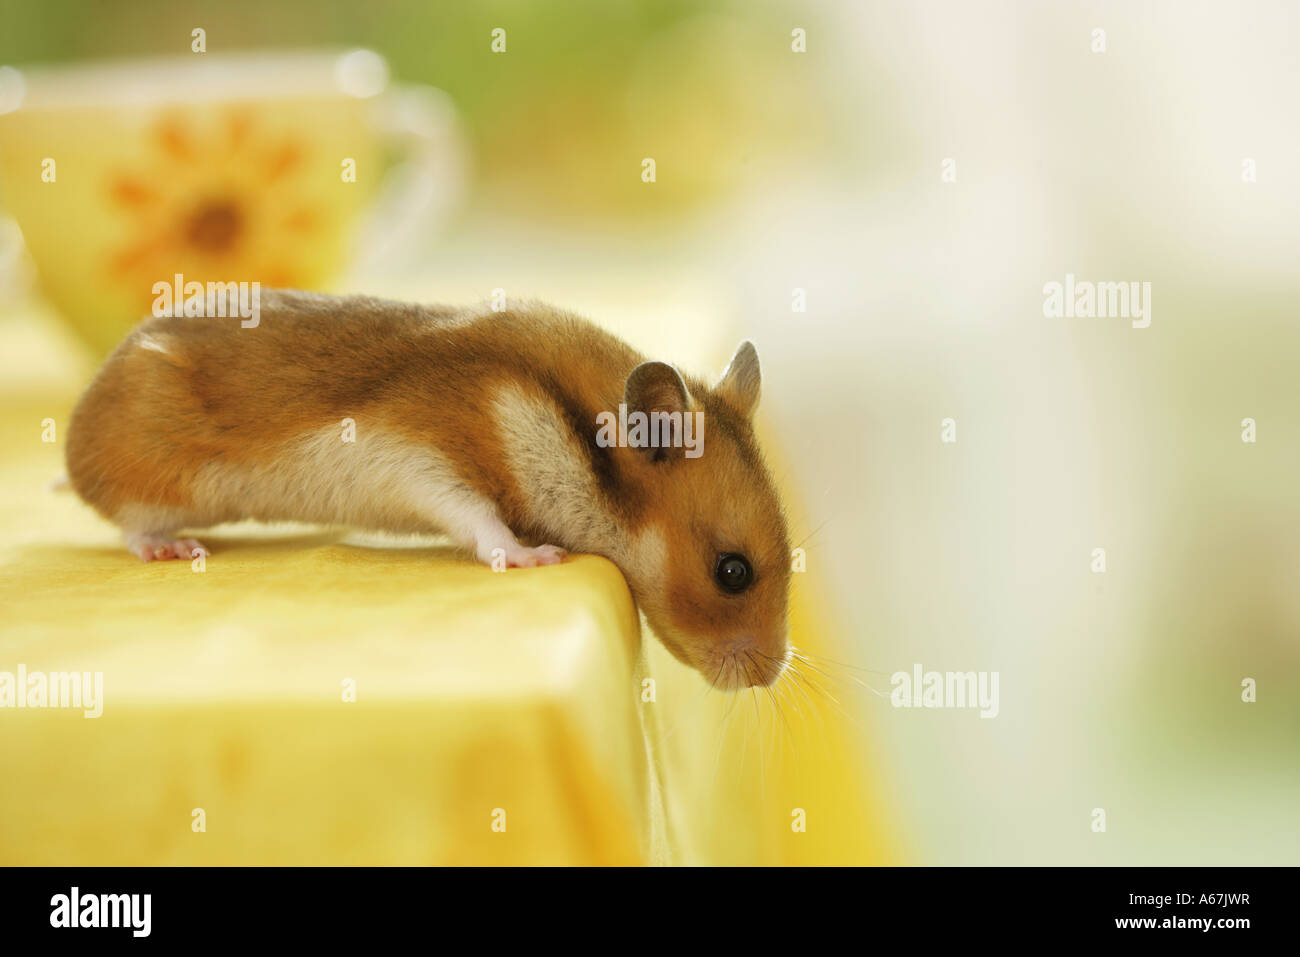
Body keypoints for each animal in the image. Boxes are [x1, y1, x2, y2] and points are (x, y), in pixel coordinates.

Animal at [65, 290, 792, 689]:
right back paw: (173, 548)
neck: (575, 433)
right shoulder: (427, 460)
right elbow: (482, 523)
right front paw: (538, 557)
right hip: (152, 475)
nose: (768, 678)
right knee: (129, 522)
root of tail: (73, 446)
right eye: (732, 571)